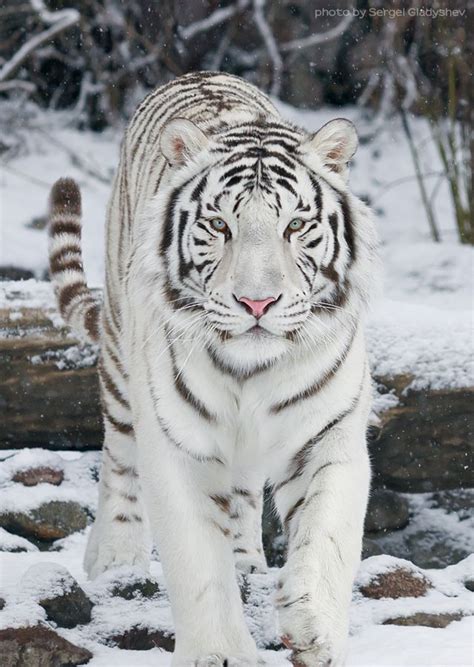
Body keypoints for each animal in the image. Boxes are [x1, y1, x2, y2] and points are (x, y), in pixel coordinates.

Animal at [48, 71, 378, 666]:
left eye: (296, 224)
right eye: (219, 225)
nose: (257, 302)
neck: (251, 373)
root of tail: (200, 73)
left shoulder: (327, 433)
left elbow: (327, 537)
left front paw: (313, 627)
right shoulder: (178, 443)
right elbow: (197, 559)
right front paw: (221, 653)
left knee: (243, 495)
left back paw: (248, 561)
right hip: (121, 366)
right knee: (119, 459)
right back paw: (114, 559)